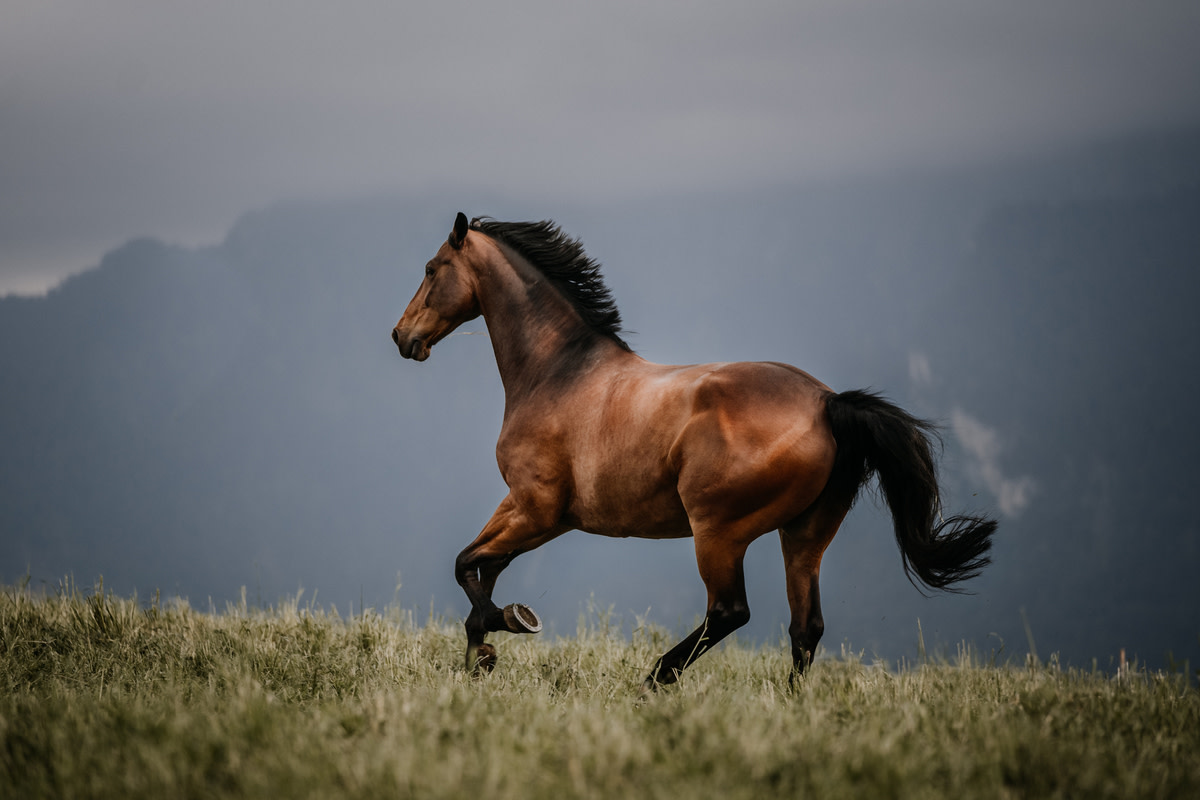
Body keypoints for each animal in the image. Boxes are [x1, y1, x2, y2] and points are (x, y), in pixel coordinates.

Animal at [391, 212, 995, 690]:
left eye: (430, 268)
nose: (401, 337)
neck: (558, 373)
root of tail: (827, 403)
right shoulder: (538, 514)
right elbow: (481, 568)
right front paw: (482, 654)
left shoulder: (535, 508)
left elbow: (466, 565)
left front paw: (506, 624)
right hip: (806, 534)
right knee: (806, 626)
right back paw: (790, 707)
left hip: (719, 532)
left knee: (729, 612)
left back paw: (656, 678)